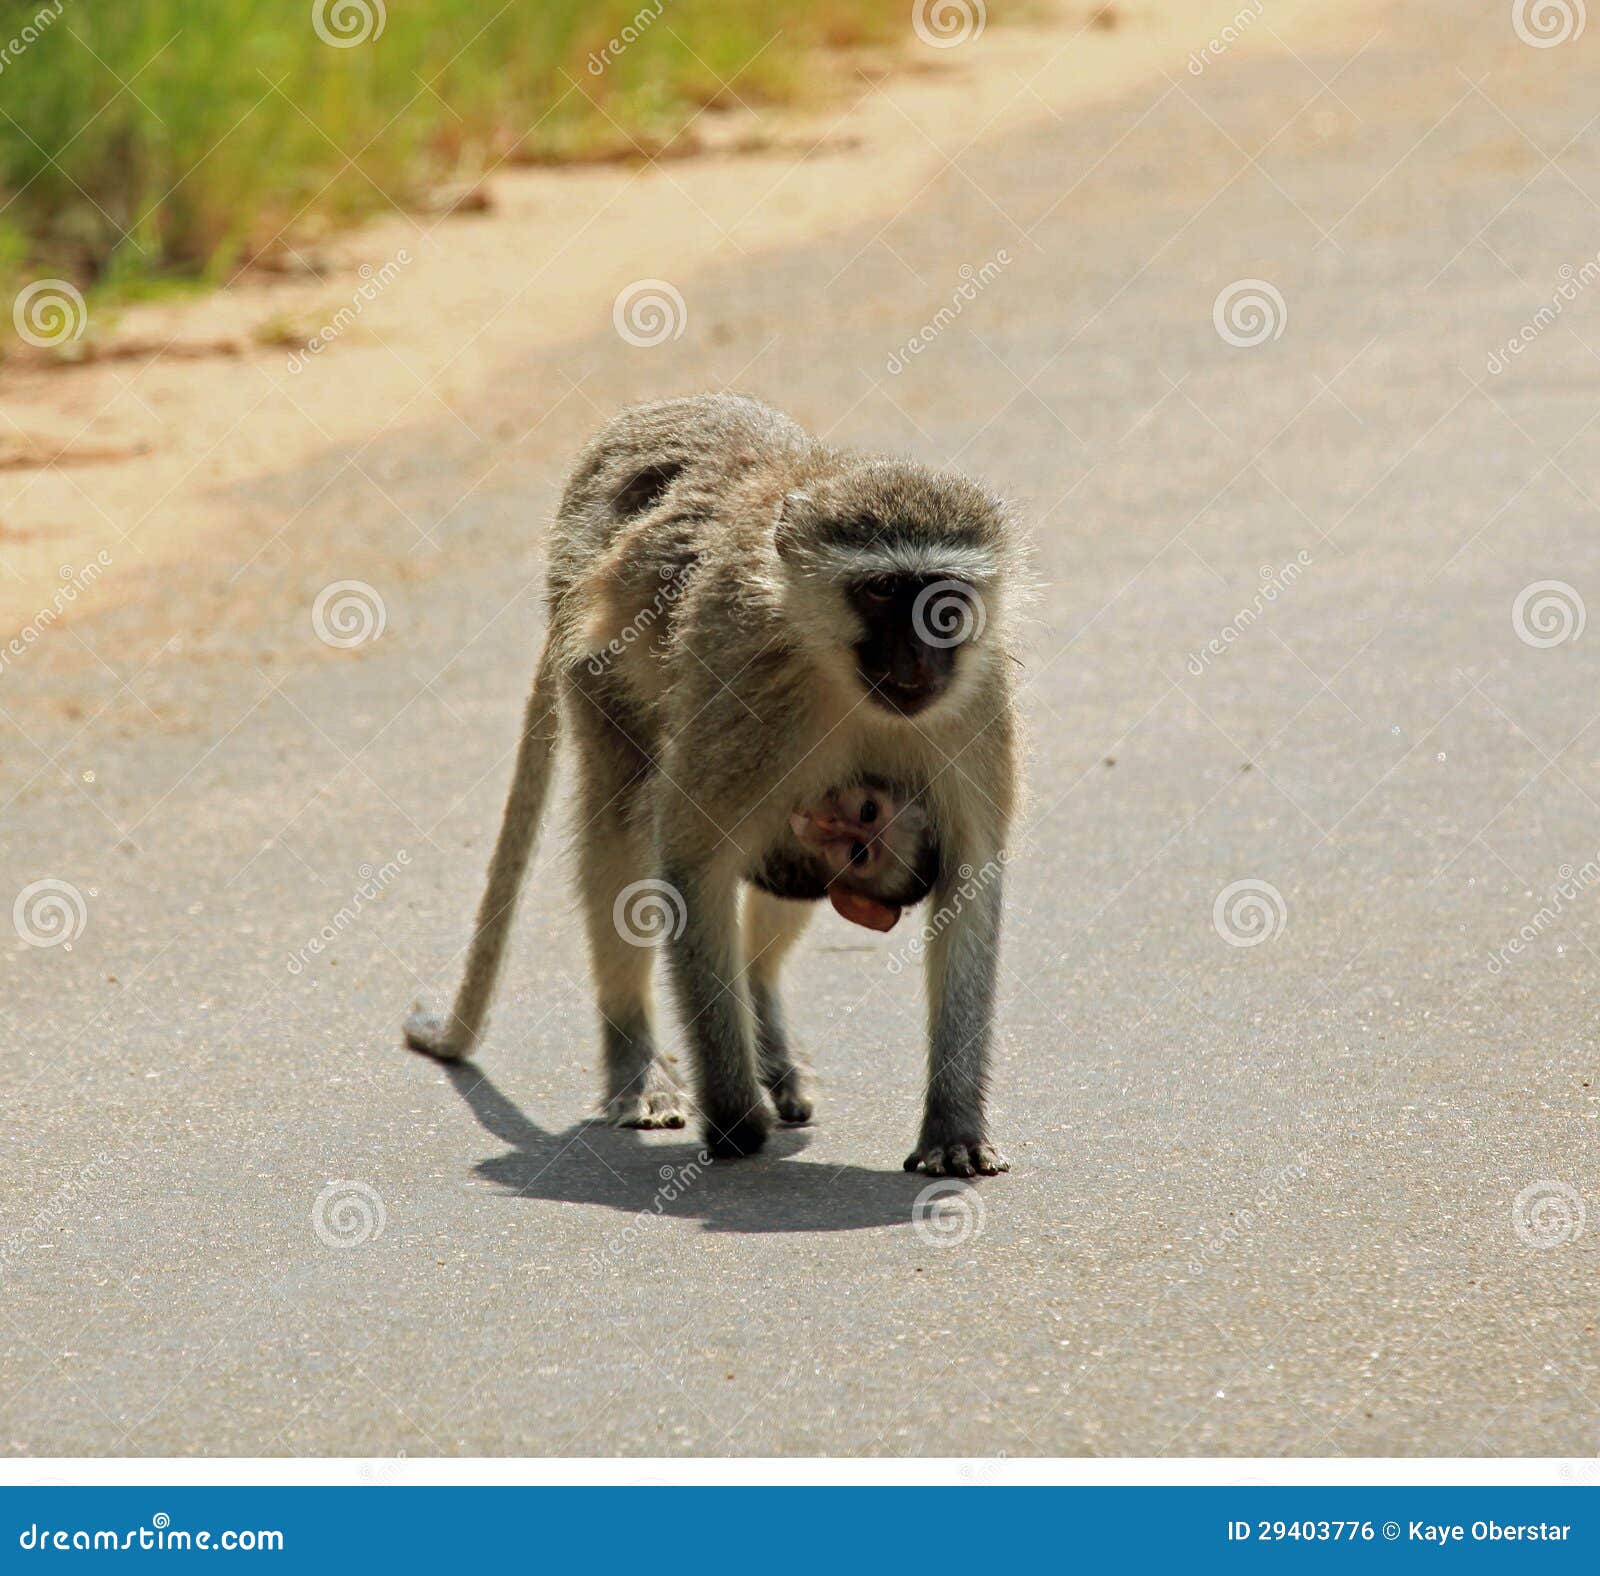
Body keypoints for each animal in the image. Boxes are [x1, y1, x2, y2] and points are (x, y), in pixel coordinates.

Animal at [405, 393, 1019, 1177]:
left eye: (946, 602)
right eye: (883, 589)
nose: (917, 662)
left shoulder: (976, 702)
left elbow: (969, 880)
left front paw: (952, 1127)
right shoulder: (744, 683)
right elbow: (693, 858)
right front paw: (732, 1116)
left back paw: (765, 1026)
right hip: (596, 663)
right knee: (623, 824)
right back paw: (636, 1060)